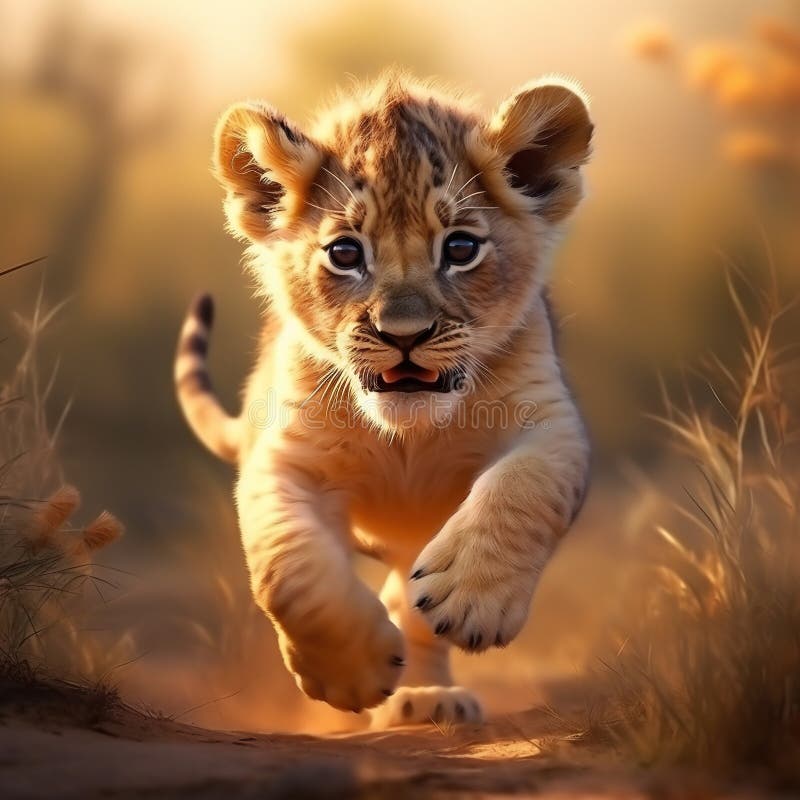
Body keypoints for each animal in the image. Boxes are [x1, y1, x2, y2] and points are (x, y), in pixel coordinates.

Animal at [174, 72, 592, 728]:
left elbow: (521, 489)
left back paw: (428, 697)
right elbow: (289, 571)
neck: (410, 432)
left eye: (461, 248)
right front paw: (350, 674)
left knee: (412, 599)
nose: (404, 335)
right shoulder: (282, 459)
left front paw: (472, 599)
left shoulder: (549, 422)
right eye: (345, 254)